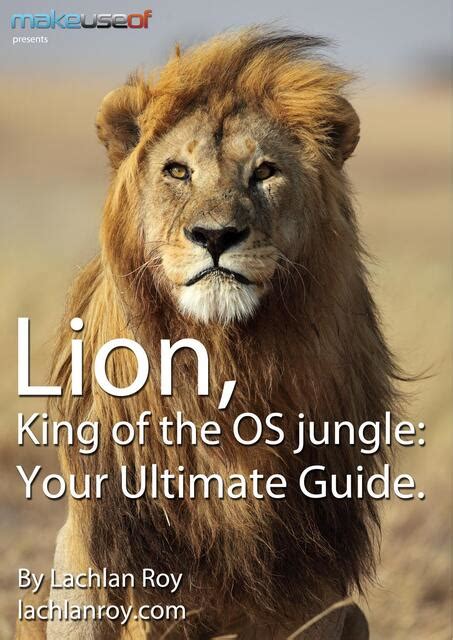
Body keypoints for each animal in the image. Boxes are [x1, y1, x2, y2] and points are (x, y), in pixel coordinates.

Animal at [17, 29, 398, 640]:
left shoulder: (310, 577)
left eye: (265, 172)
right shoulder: (98, 544)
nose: (215, 236)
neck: (221, 360)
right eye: (177, 171)